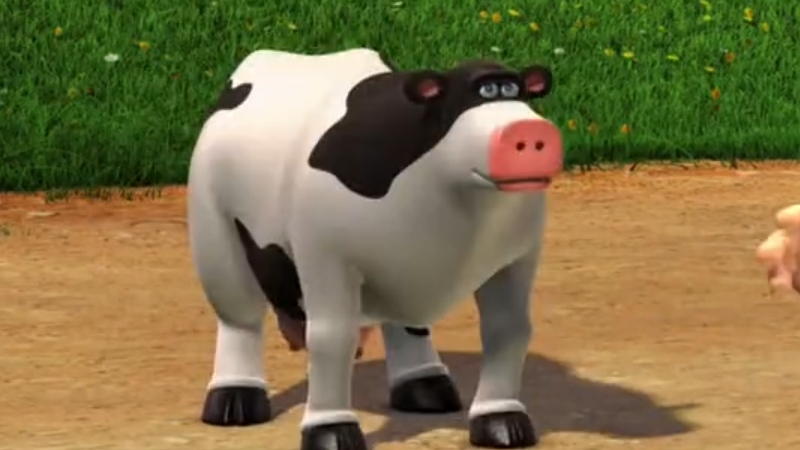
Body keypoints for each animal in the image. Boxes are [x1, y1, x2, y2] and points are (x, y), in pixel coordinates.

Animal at [187, 48, 563, 450]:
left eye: (517, 92)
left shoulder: (518, 254)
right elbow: (330, 338)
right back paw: (234, 400)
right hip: (214, 234)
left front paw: (501, 421)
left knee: (407, 326)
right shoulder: (323, 253)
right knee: (238, 318)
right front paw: (330, 430)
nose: (529, 131)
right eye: (473, 96)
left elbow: (508, 329)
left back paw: (425, 387)